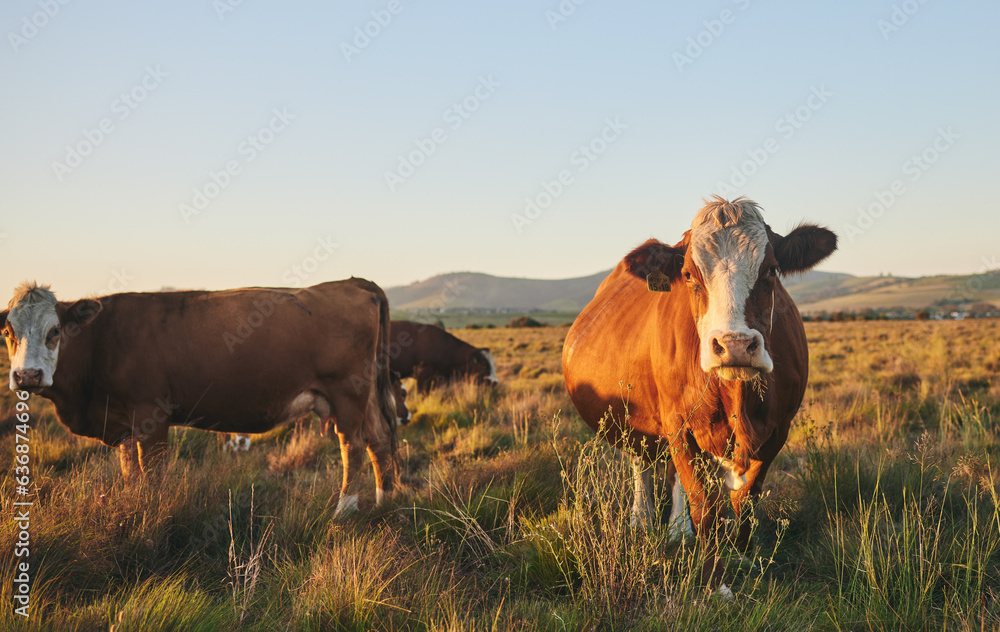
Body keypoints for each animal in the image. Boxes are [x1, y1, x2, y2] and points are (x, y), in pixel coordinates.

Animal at [0, 278, 398, 517]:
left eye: (55, 331)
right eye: (8, 331)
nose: (27, 376)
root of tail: (351, 283)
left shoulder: (151, 416)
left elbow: (152, 475)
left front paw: (151, 517)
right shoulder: (123, 424)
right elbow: (130, 473)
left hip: (347, 392)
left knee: (353, 444)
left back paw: (344, 509)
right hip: (365, 396)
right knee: (379, 440)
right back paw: (386, 501)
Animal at [562, 196, 836, 594]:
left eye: (771, 269)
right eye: (690, 274)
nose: (735, 345)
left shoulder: (777, 429)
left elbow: (746, 498)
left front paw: (741, 555)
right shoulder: (678, 426)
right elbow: (702, 503)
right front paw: (715, 583)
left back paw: (678, 530)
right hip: (636, 422)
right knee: (642, 463)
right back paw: (644, 520)